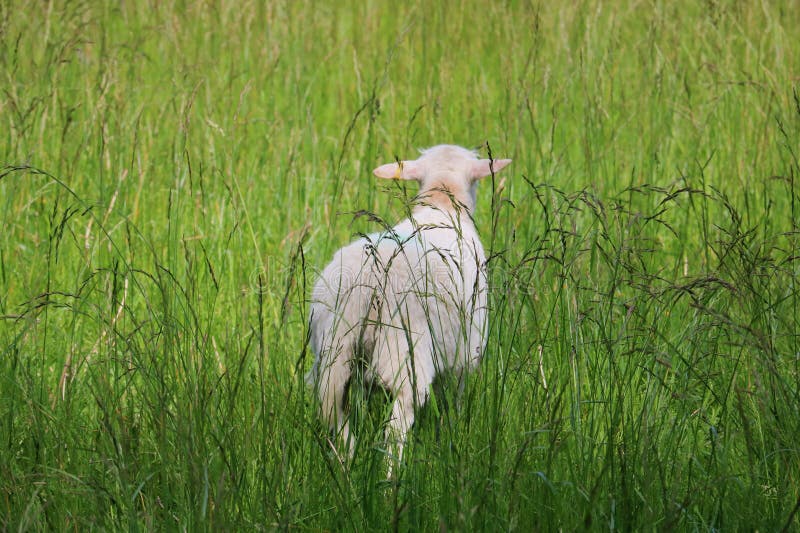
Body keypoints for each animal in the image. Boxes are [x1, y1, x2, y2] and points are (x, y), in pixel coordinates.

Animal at [306, 144, 512, 469]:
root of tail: (371, 280)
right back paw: (391, 475)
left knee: (335, 414)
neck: (442, 203)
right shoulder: (467, 352)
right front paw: (452, 433)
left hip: (334, 351)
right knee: (396, 428)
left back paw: (348, 466)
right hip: (405, 355)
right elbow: (455, 400)